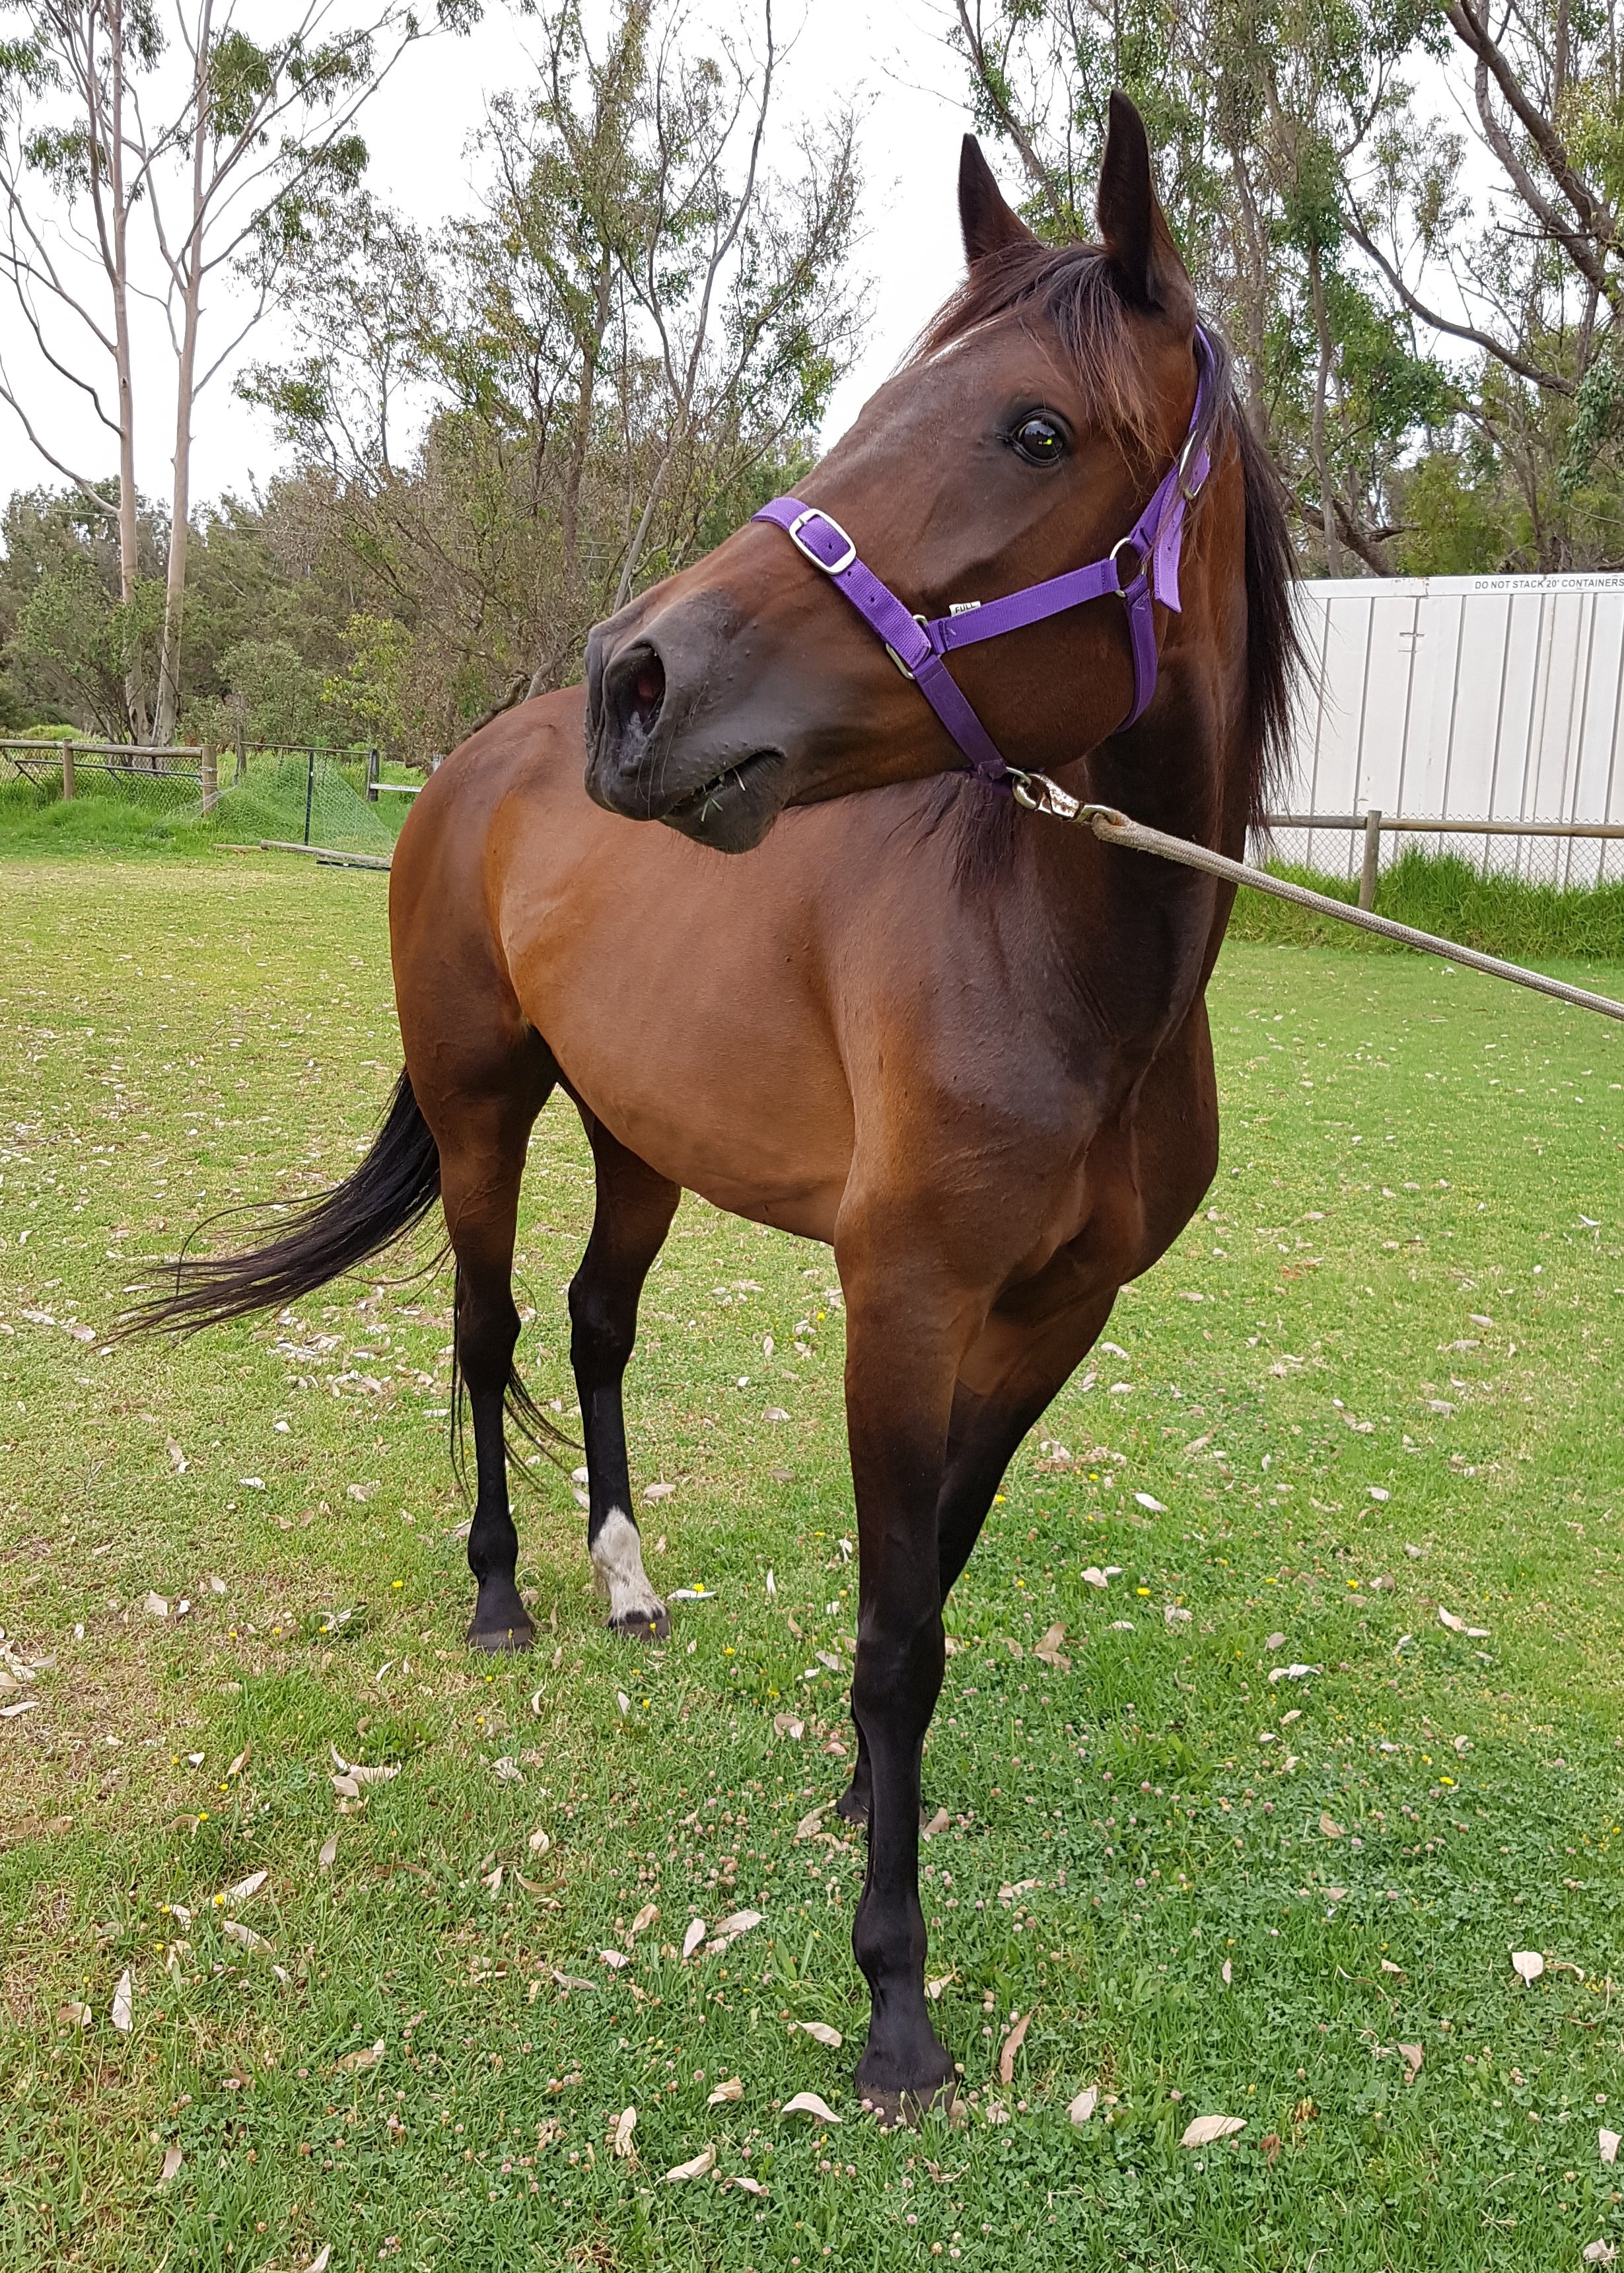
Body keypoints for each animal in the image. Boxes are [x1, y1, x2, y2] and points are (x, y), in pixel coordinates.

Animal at [138, 94, 1296, 2115]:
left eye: (1036, 430)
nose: (637, 679)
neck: (1064, 968)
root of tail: (471, 766)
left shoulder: (1050, 1316)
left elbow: (935, 1575)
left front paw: (851, 1797)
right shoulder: (897, 1300)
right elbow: (901, 1628)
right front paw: (895, 1990)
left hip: (641, 1140)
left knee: (595, 1324)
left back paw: (623, 1574)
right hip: (485, 1110)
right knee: (486, 1331)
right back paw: (506, 1591)